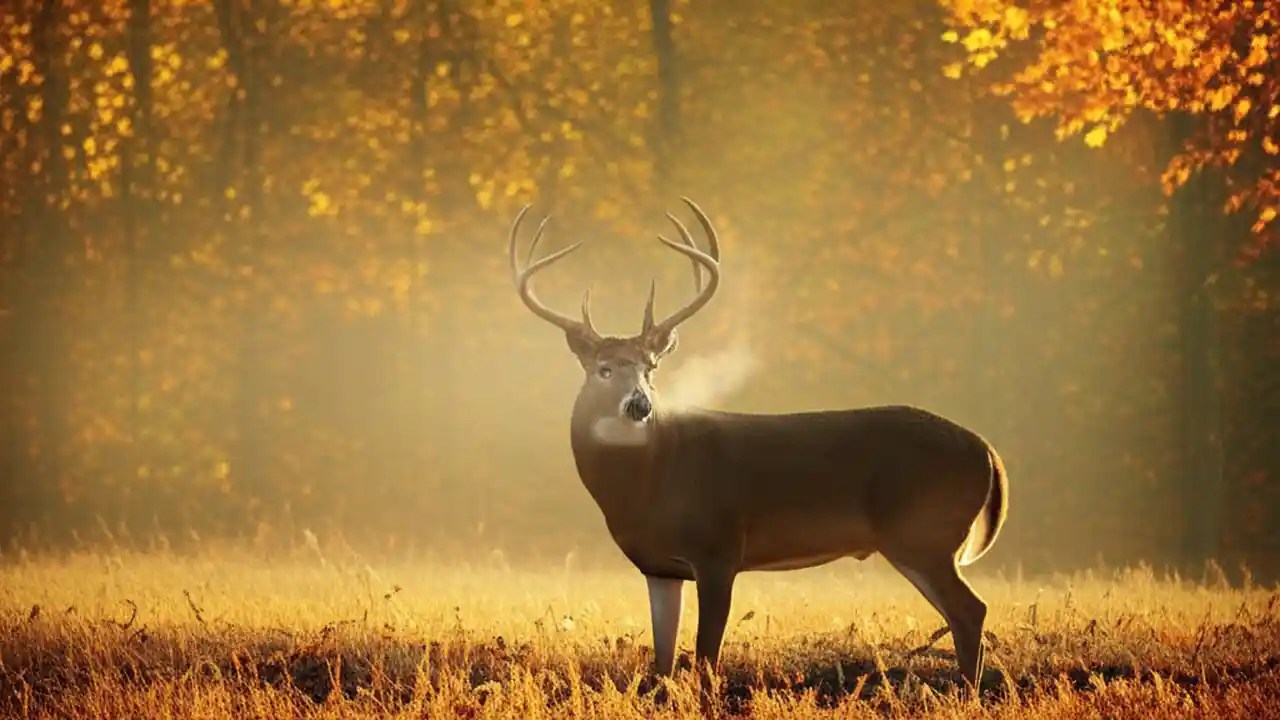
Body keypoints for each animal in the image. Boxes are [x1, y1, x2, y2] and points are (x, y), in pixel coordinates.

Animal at [506, 198, 1009, 688]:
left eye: (651, 367)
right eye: (604, 369)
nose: (640, 404)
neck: (647, 484)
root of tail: (987, 449)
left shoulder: (719, 546)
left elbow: (706, 659)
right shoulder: (660, 568)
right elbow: (663, 663)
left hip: (924, 531)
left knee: (970, 609)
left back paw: (968, 694)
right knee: (967, 611)